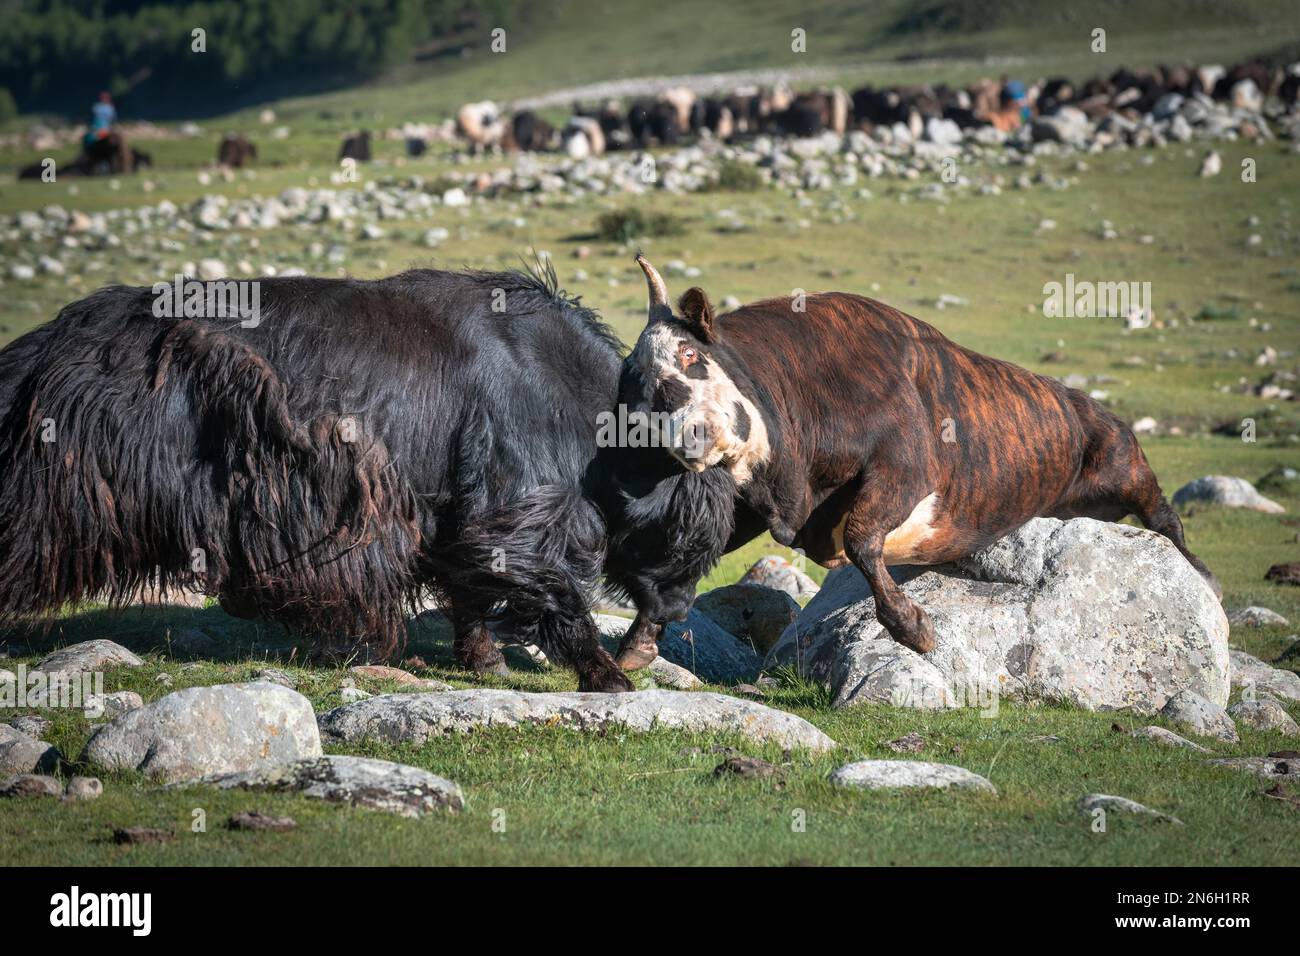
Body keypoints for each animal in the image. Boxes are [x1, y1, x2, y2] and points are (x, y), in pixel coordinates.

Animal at [0, 266, 635, 693]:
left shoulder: (460, 515)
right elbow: (544, 581)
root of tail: (32, 355)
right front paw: (607, 676)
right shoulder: (518, 504)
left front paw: (487, 662)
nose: (645, 645)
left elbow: (472, 586)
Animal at [607, 256, 1221, 669]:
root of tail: (1089, 406)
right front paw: (637, 643)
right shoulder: (754, 505)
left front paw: (912, 627)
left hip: (1126, 467)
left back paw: (1205, 577)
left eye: (690, 354)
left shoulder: (907, 468)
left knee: (1166, 518)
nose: (681, 438)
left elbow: (861, 538)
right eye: (632, 385)